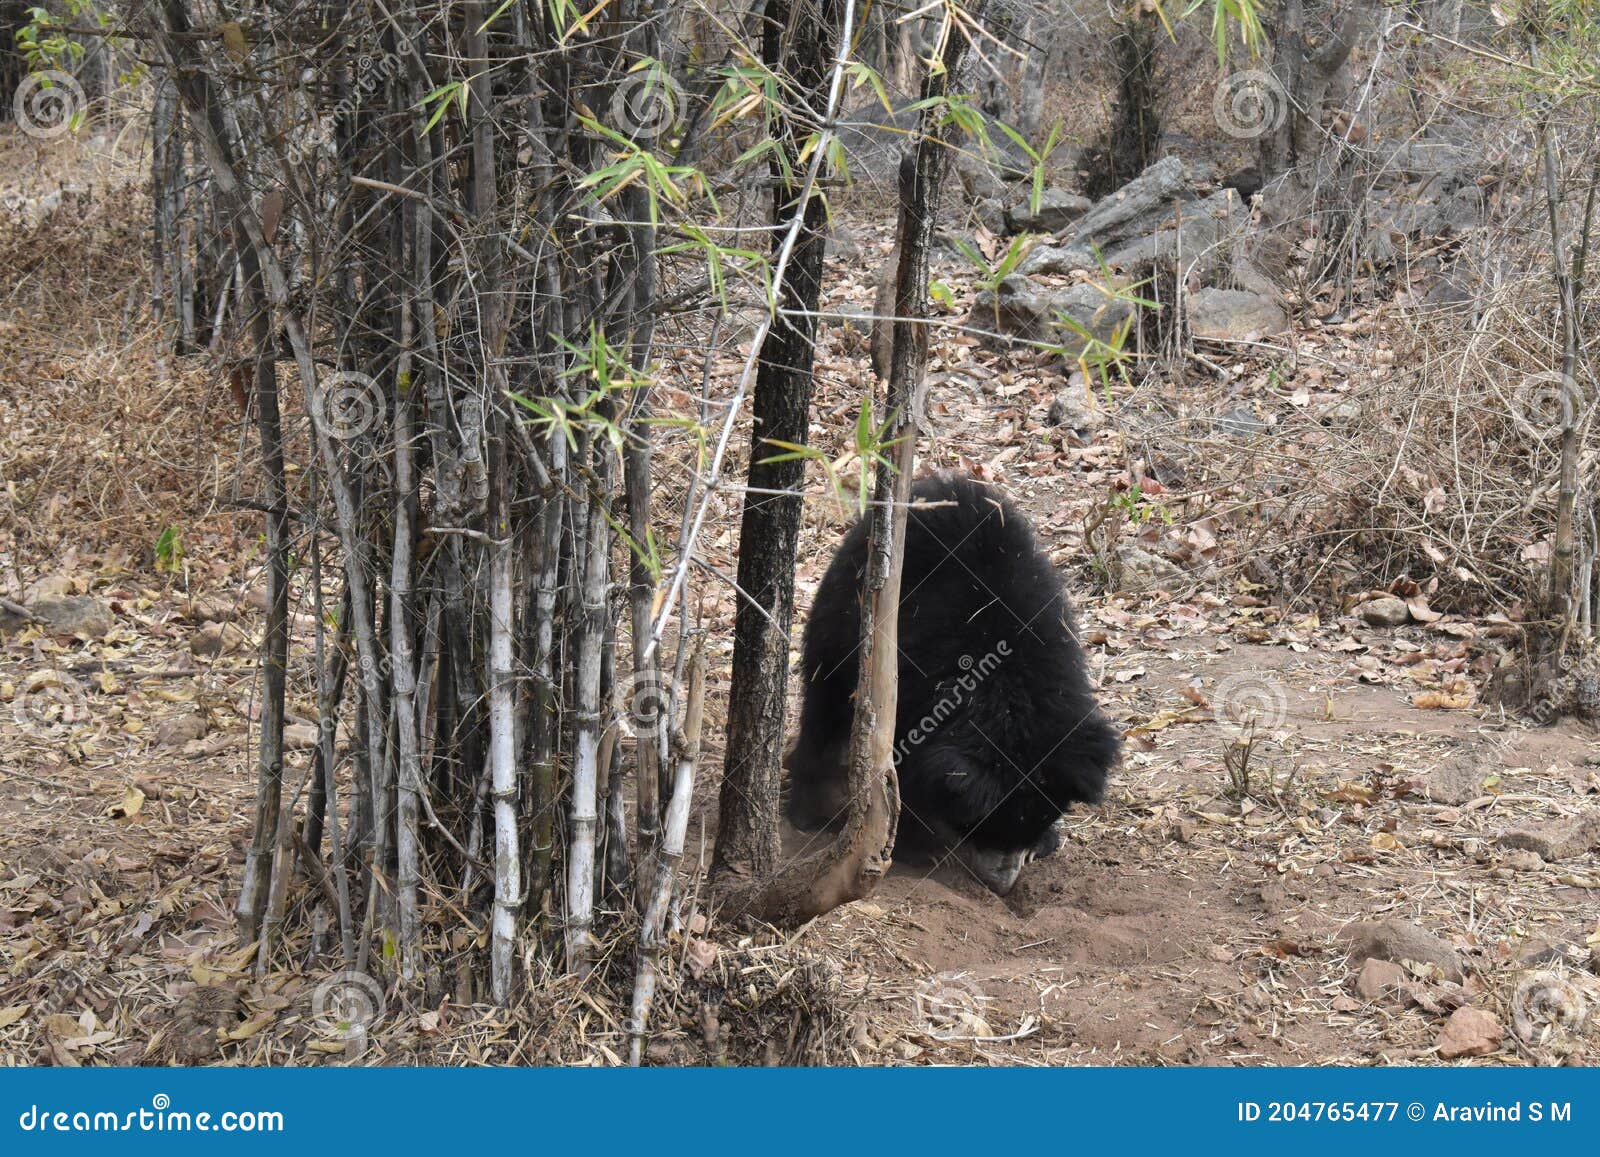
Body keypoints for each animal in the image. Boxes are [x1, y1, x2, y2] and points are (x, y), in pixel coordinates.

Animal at [786, 472, 1121, 895]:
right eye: (984, 826)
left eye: (1039, 816)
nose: (1003, 883)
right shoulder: (917, 681)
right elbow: (901, 766)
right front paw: (916, 846)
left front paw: (1046, 843)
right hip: (845, 618)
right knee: (823, 702)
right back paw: (806, 811)